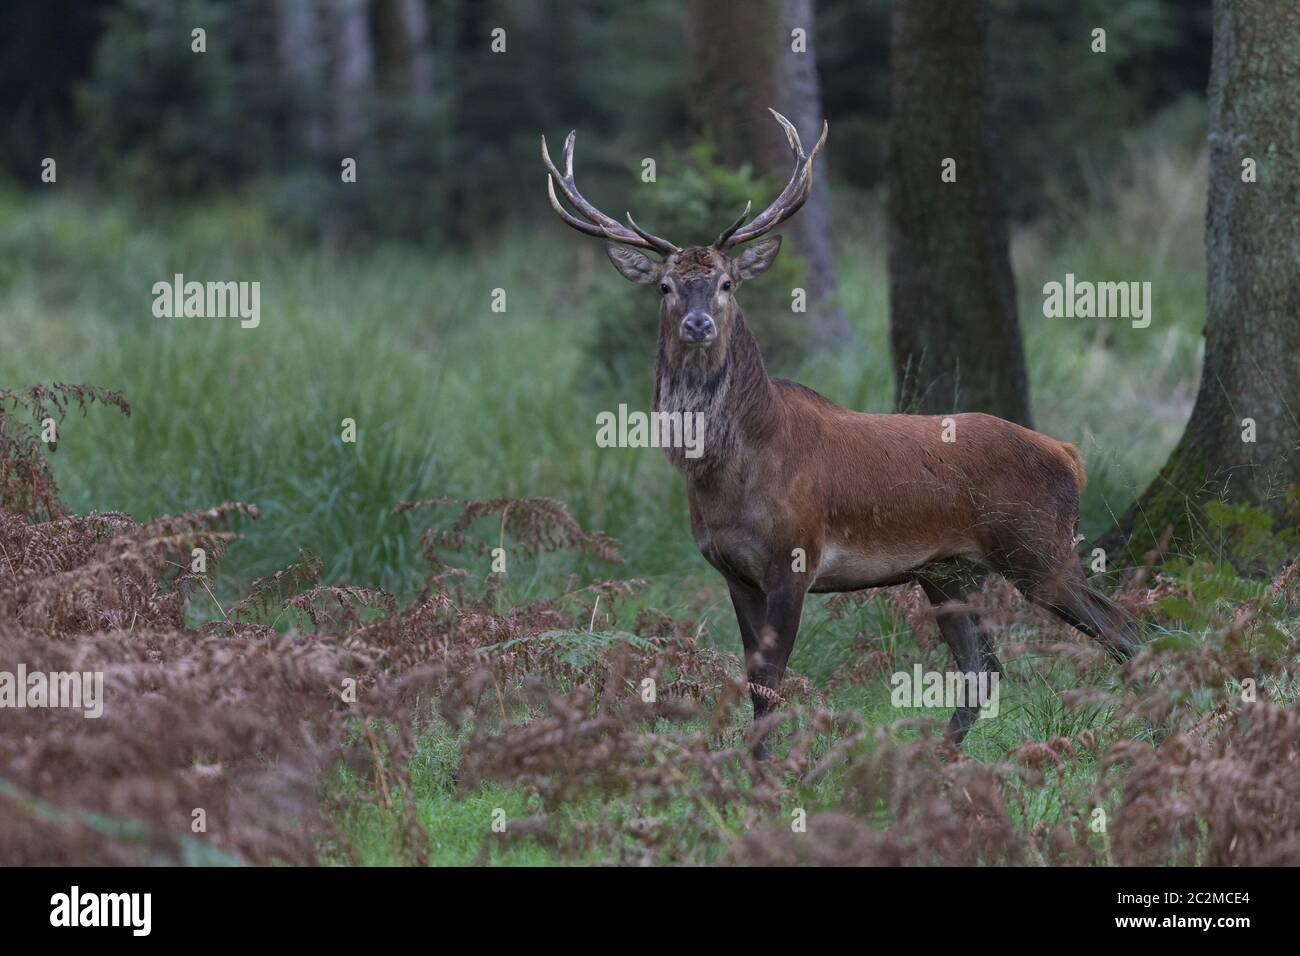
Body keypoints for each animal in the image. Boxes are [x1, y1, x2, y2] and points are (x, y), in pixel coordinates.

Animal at [542, 109, 1140, 757]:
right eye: (665, 286)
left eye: (726, 283)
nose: (698, 324)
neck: (728, 471)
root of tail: (1069, 454)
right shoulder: (732, 571)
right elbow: (753, 676)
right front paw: (754, 762)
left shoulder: (795, 556)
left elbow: (771, 680)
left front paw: (765, 768)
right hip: (951, 569)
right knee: (984, 667)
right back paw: (940, 758)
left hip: (1038, 546)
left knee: (1122, 628)